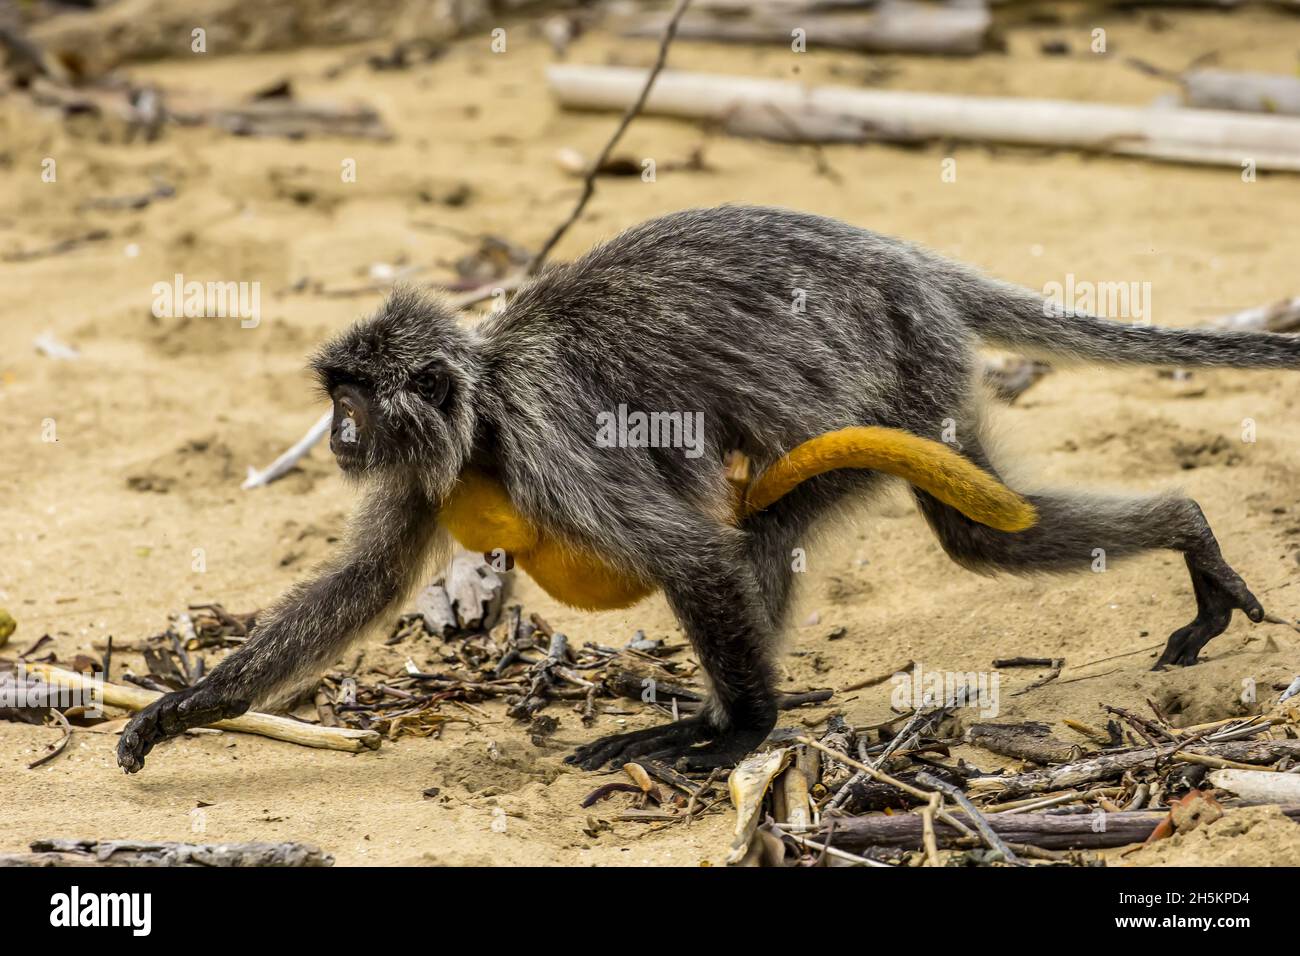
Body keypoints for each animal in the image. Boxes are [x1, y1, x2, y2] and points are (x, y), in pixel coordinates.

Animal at [117, 204, 1299, 775]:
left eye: (354, 401)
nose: (336, 438)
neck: (486, 406)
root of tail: (909, 262)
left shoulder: (546, 440)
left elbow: (688, 550)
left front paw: (742, 738)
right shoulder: (429, 472)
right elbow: (363, 584)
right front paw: (181, 709)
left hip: (907, 370)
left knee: (968, 536)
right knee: (797, 529)